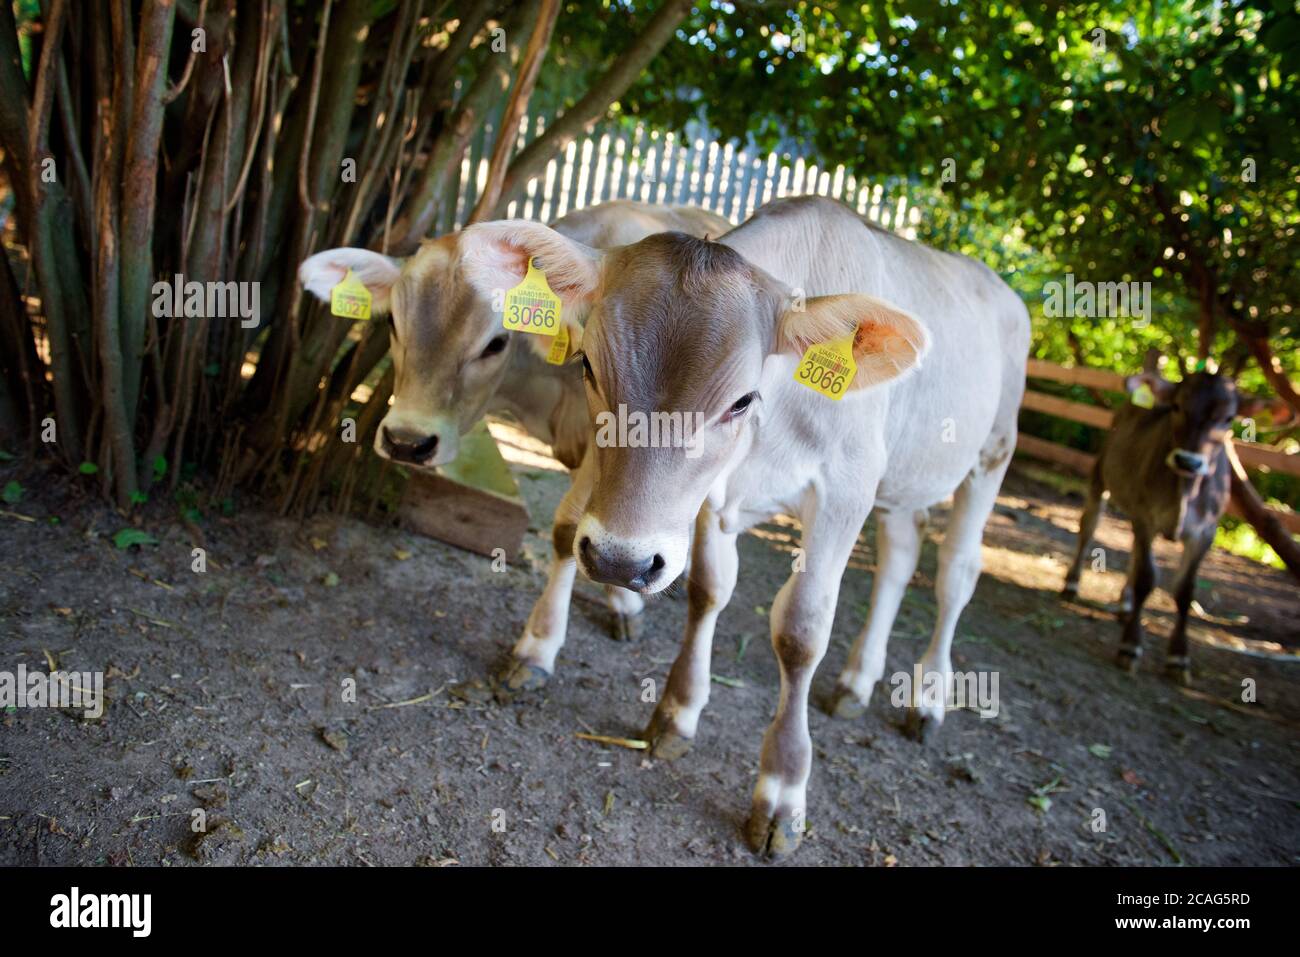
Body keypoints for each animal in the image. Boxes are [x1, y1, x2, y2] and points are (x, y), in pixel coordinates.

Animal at [457, 195, 1031, 857]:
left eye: (740, 400)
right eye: (589, 367)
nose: (621, 561)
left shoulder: (847, 488)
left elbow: (801, 630)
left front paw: (781, 791)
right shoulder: (710, 499)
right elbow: (707, 590)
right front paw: (678, 713)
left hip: (992, 452)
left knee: (955, 574)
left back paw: (929, 699)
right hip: (901, 482)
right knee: (900, 555)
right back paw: (857, 682)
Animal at [1062, 369, 1244, 684]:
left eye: (1229, 418)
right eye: (1178, 407)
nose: (1189, 461)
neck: (1184, 488)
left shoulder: (1205, 532)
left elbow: (1185, 589)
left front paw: (1179, 658)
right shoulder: (1145, 516)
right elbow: (1147, 576)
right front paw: (1130, 647)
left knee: (1133, 554)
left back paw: (1125, 604)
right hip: (1101, 475)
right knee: (1089, 528)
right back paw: (1073, 584)